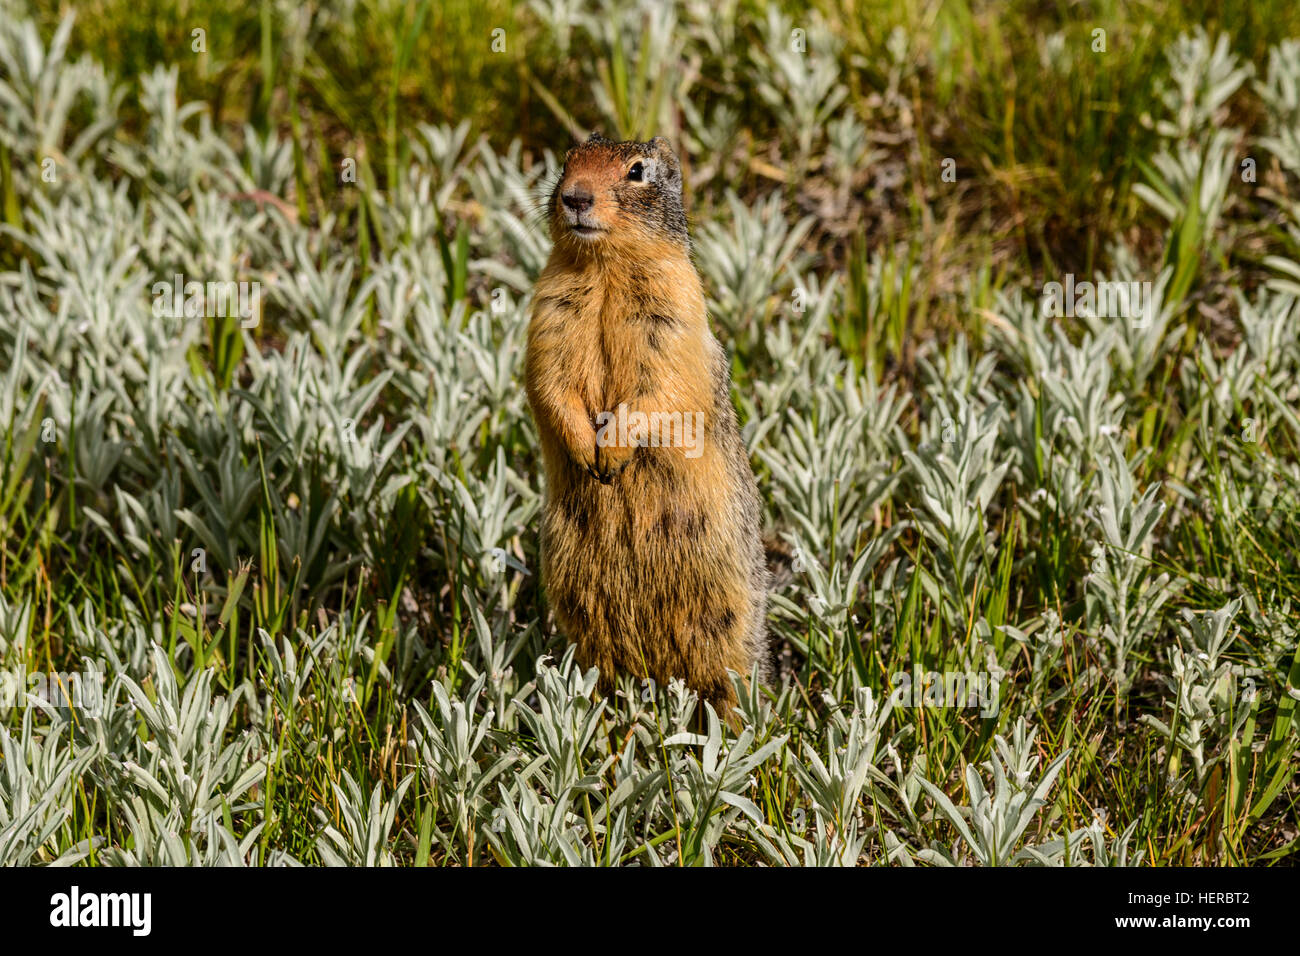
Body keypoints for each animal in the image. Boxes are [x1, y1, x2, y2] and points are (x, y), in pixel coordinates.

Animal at [525, 132, 774, 713]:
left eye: (637, 171)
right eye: (566, 161)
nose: (574, 196)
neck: (604, 271)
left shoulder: (674, 314)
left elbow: (658, 387)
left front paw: (609, 454)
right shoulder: (548, 315)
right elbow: (548, 380)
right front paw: (585, 449)